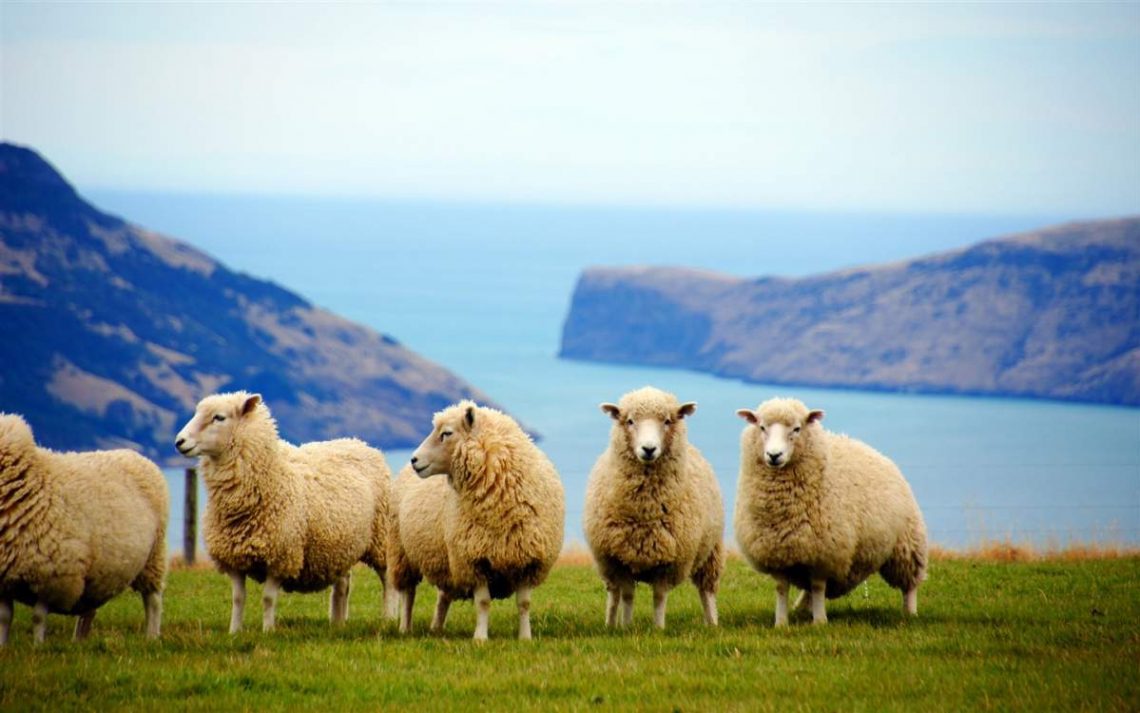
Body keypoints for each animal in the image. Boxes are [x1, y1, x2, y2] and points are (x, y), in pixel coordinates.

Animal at [0, 413, 168, 645]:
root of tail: (134, 454)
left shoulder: (52, 576)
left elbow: (38, 617)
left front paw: (38, 646)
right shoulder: (4, 580)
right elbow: (5, 618)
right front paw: (4, 645)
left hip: (153, 557)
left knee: (153, 600)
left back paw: (151, 636)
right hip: (98, 572)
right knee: (89, 609)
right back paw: (79, 641)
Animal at [175, 391, 393, 633]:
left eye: (219, 417)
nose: (179, 442)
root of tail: (359, 442)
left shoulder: (281, 556)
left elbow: (268, 598)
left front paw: (268, 631)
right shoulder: (234, 559)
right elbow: (238, 598)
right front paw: (234, 632)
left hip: (381, 538)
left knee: (388, 580)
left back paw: (389, 617)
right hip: (341, 544)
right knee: (343, 584)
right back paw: (337, 622)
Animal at [409, 400, 565, 641]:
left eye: (447, 433)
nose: (414, 460)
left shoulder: (527, 559)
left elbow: (524, 604)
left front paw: (525, 637)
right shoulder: (475, 558)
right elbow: (483, 602)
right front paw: (480, 638)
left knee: (443, 596)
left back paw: (436, 629)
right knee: (405, 595)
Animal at [583, 386, 724, 630]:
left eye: (667, 421)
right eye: (630, 421)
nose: (648, 449)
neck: (645, 510)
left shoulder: (669, 561)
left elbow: (659, 597)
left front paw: (658, 628)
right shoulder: (620, 559)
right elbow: (627, 595)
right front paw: (626, 627)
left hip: (711, 551)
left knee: (707, 591)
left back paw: (712, 623)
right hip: (606, 565)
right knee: (613, 595)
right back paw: (610, 624)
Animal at [734, 397, 928, 626]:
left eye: (797, 428)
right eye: (762, 427)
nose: (774, 455)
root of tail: (876, 452)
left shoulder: (825, 552)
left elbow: (818, 586)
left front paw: (820, 622)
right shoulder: (777, 551)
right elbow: (782, 588)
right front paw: (781, 623)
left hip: (906, 543)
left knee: (910, 584)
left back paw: (910, 613)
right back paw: (802, 608)